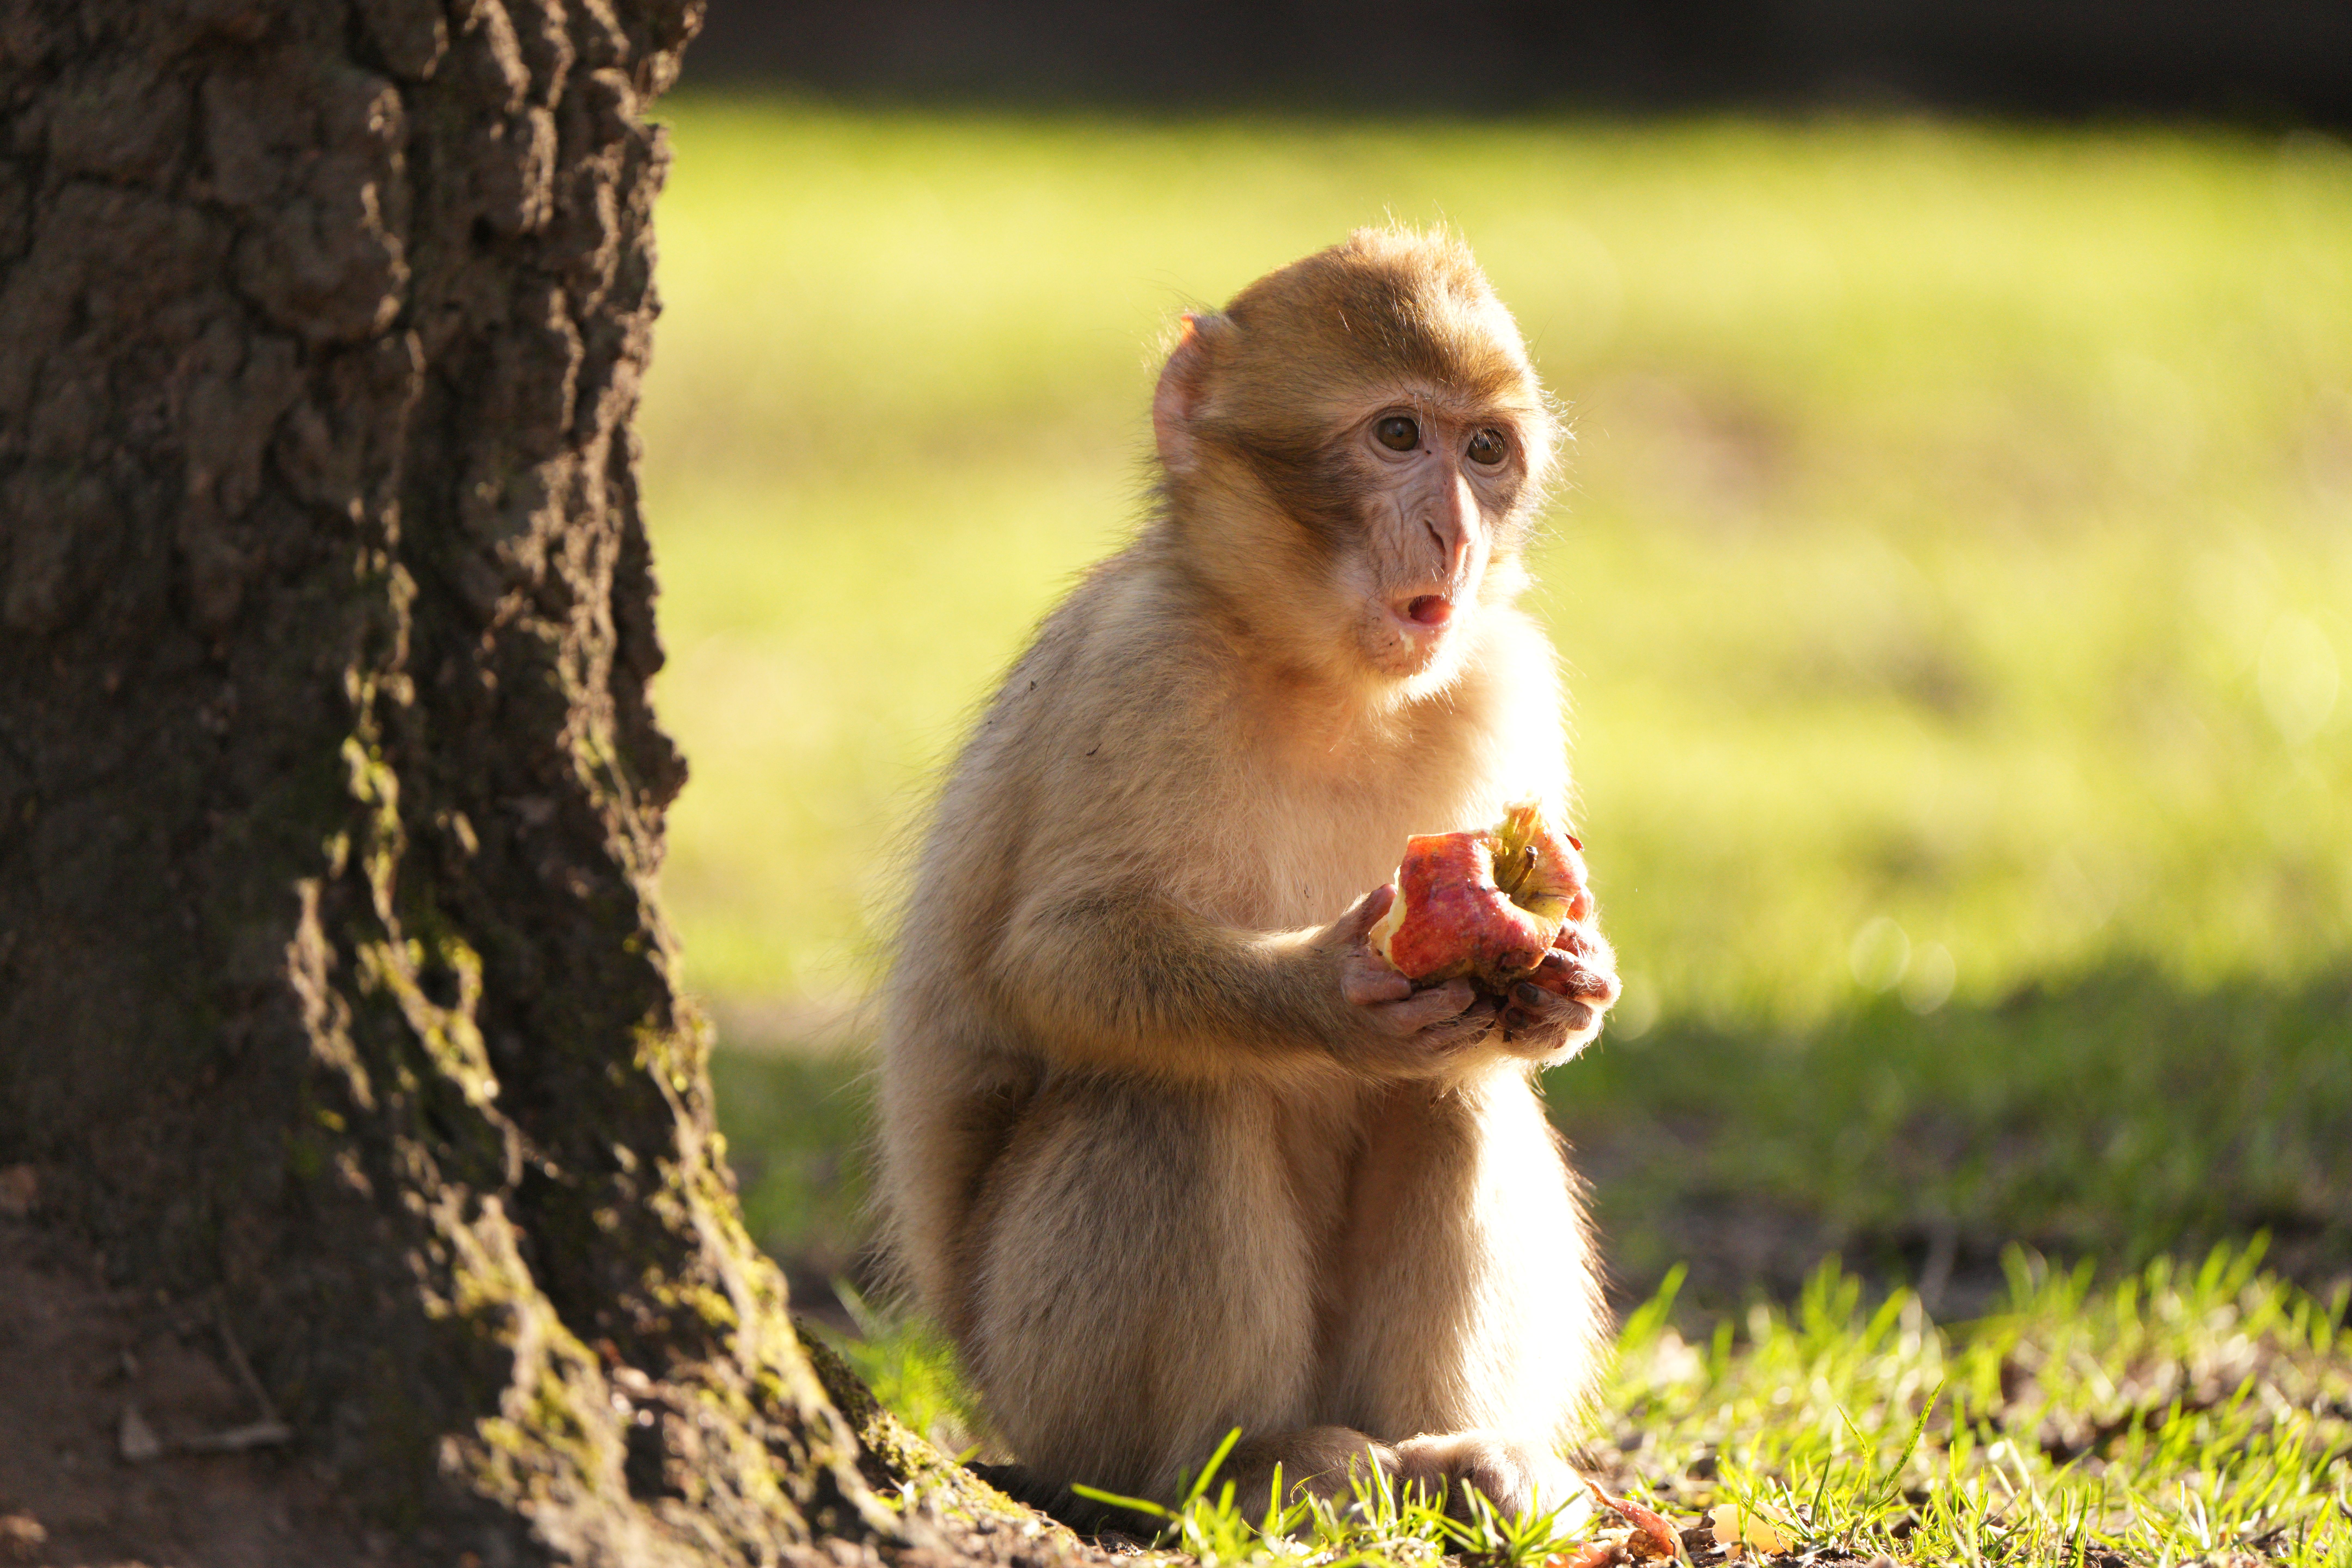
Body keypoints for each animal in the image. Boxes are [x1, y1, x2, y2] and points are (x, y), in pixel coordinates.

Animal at [874, 227, 1621, 1525]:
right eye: (1395, 436)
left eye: (1483, 451)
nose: (1455, 535)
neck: (1322, 678)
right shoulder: (1142, 664)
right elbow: (1059, 954)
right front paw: (1327, 995)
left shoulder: (1506, 668)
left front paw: (1571, 985)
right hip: (1039, 1380)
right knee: (1167, 1088)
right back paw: (1237, 1462)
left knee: (1456, 1088)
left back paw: (1451, 1450)